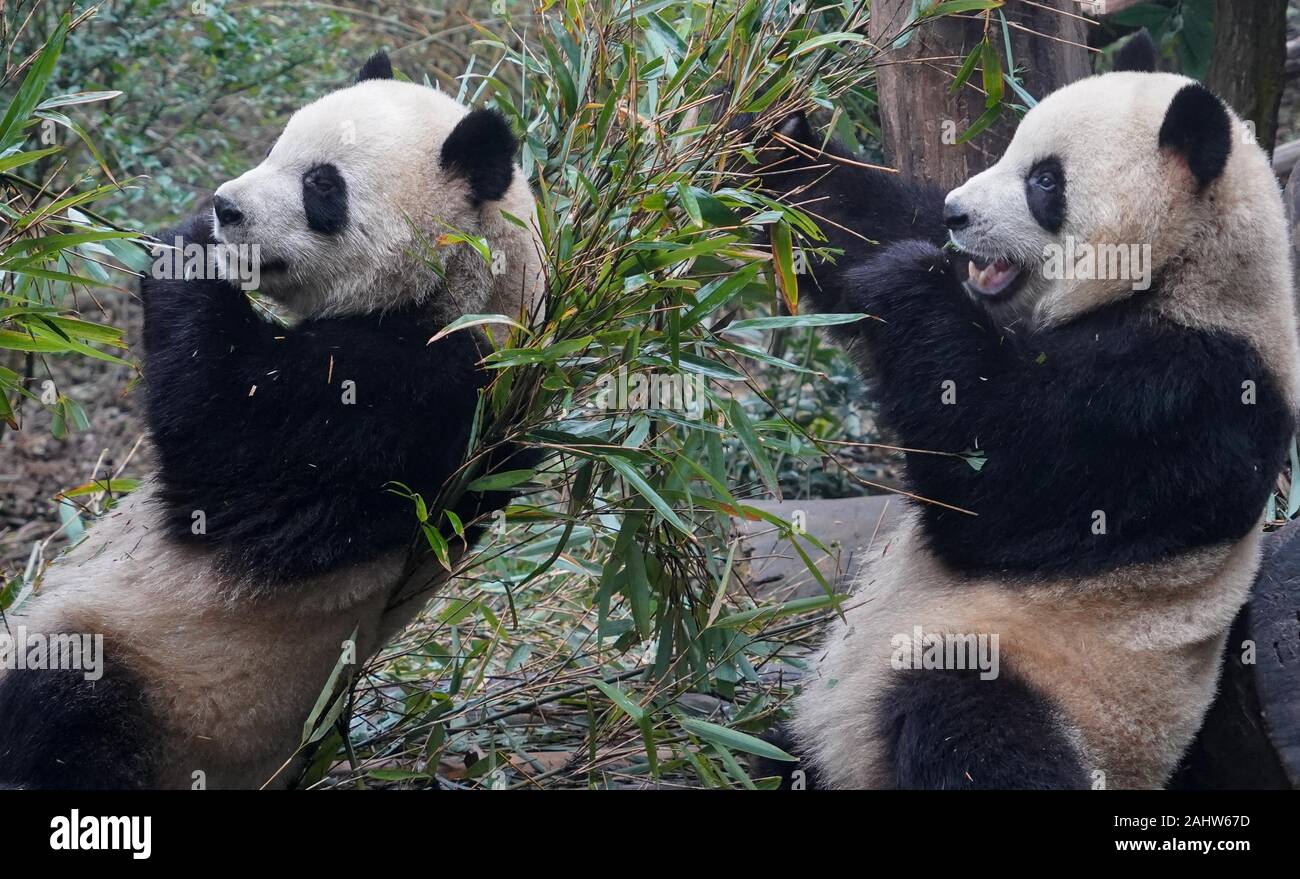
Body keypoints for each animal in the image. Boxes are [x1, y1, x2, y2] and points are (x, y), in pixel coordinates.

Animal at [0, 52, 543, 789]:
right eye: (276, 146)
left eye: (322, 186)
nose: (227, 206)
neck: (474, 283)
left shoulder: (417, 391)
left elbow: (223, 442)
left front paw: (186, 243)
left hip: (160, 680)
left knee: (65, 714)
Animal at [753, 49, 1300, 788]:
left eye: (1045, 180)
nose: (956, 214)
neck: (1188, 269)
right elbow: (859, 219)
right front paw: (766, 124)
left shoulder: (1189, 391)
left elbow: (1005, 485)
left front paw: (907, 278)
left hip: (1060, 688)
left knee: (970, 725)